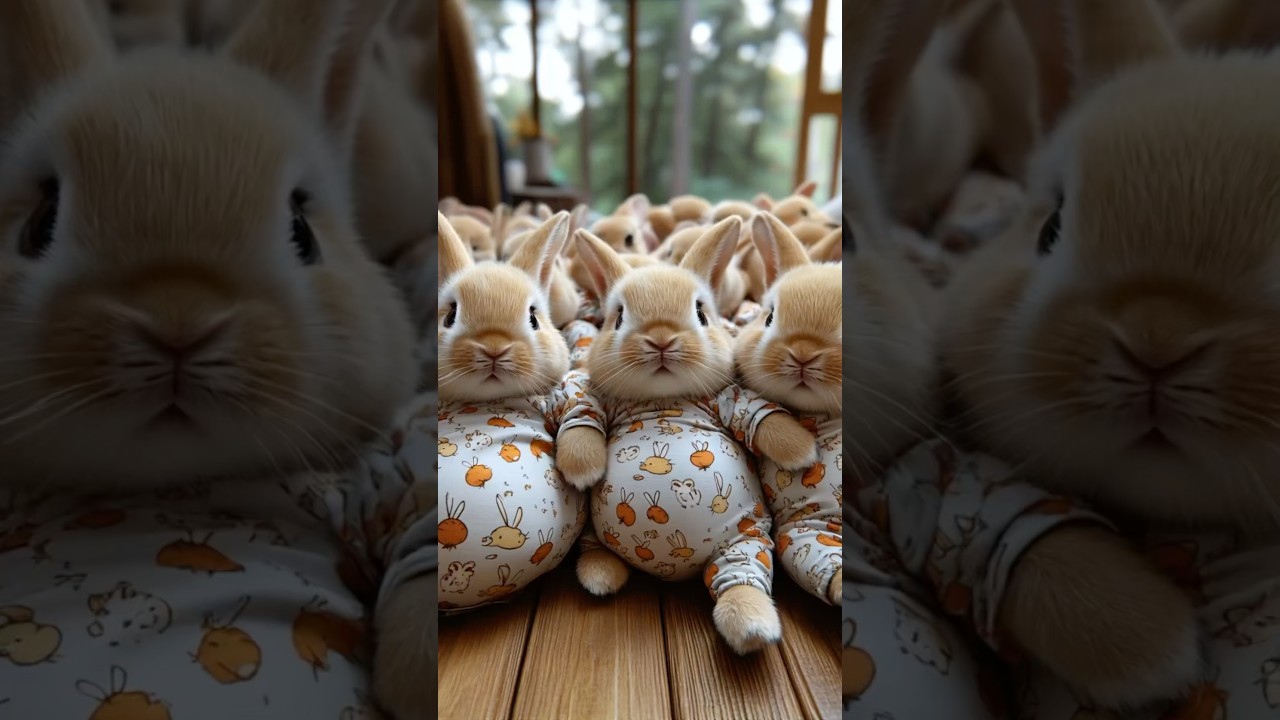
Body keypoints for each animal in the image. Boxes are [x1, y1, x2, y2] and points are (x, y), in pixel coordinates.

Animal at [570, 216, 820, 654]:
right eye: (617, 318)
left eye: (701, 313)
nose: (661, 339)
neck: (664, 396)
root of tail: (675, 569)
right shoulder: (603, 404)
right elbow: (586, 421)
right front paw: (583, 471)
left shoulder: (728, 402)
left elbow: (763, 420)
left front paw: (805, 454)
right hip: (596, 529)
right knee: (596, 547)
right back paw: (600, 577)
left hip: (745, 546)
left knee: (739, 580)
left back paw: (752, 628)